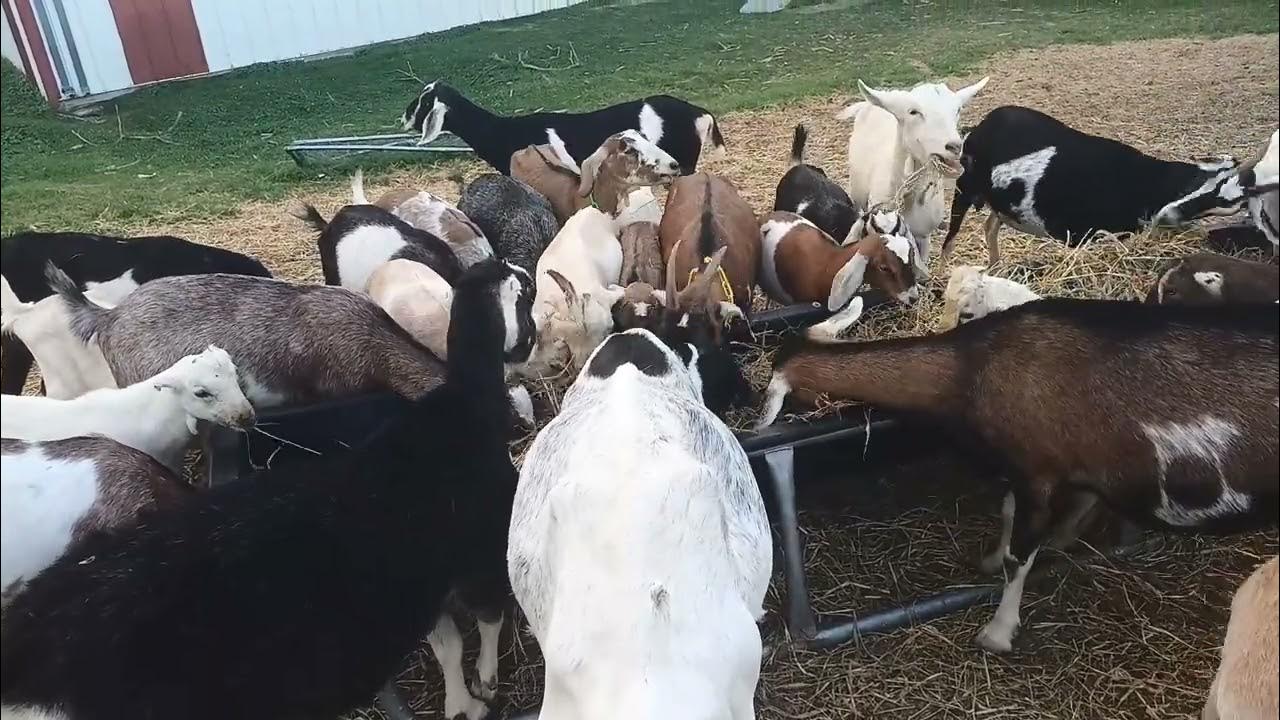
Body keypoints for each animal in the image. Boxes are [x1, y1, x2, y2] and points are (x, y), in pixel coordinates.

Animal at [757, 299, 1277, 653]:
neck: (972, 368)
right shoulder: (1044, 468)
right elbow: (1014, 515)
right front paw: (1001, 555)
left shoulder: (1038, 470)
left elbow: (1020, 556)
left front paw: (997, 632)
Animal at [944, 106, 1240, 264]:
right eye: (1216, 194)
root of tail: (983, 124)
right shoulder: (1079, 236)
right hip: (964, 187)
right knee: (952, 235)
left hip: (1000, 203)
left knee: (990, 226)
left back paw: (996, 268)